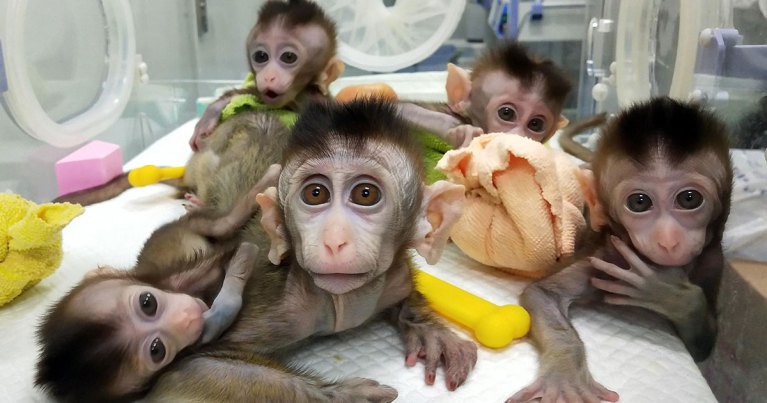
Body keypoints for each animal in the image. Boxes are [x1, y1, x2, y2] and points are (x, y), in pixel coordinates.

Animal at [35, 163, 282, 402]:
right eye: (157, 350)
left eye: (147, 302)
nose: (186, 319)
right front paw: (238, 265)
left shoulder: (176, 277)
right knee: (223, 226)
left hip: (183, 225)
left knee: (222, 224)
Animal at [506, 97, 733, 403]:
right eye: (639, 202)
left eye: (689, 199)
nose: (668, 239)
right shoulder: (605, 256)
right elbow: (542, 294)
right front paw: (565, 374)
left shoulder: (713, 259)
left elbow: (704, 344)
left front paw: (668, 292)